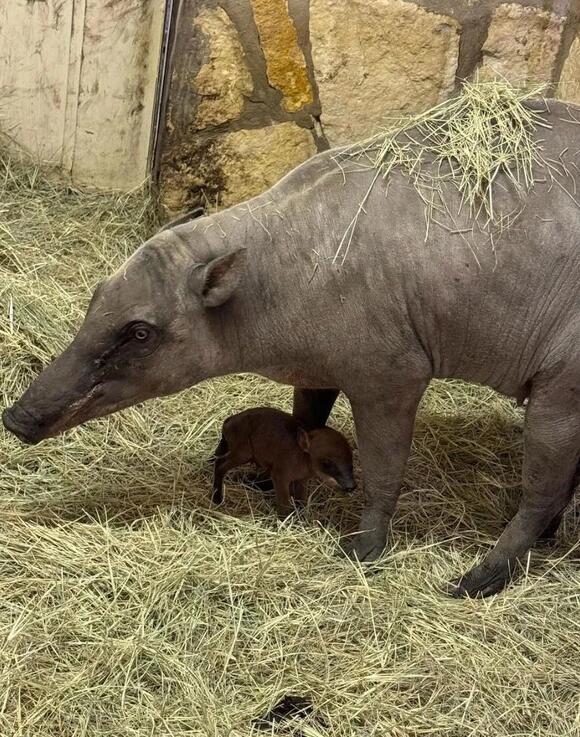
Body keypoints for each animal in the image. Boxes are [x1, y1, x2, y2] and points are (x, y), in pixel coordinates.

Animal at [211, 407, 356, 516]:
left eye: (351, 460)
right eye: (326, 463)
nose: (351, 486)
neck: (301, 458)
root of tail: (228, 421)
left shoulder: (302, 480)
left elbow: (301, 499)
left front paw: (301, 517)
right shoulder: (280, 476)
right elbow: (284, 503)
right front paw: (285, 520)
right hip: (243, 452)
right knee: (220, 464)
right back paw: (217, 498)